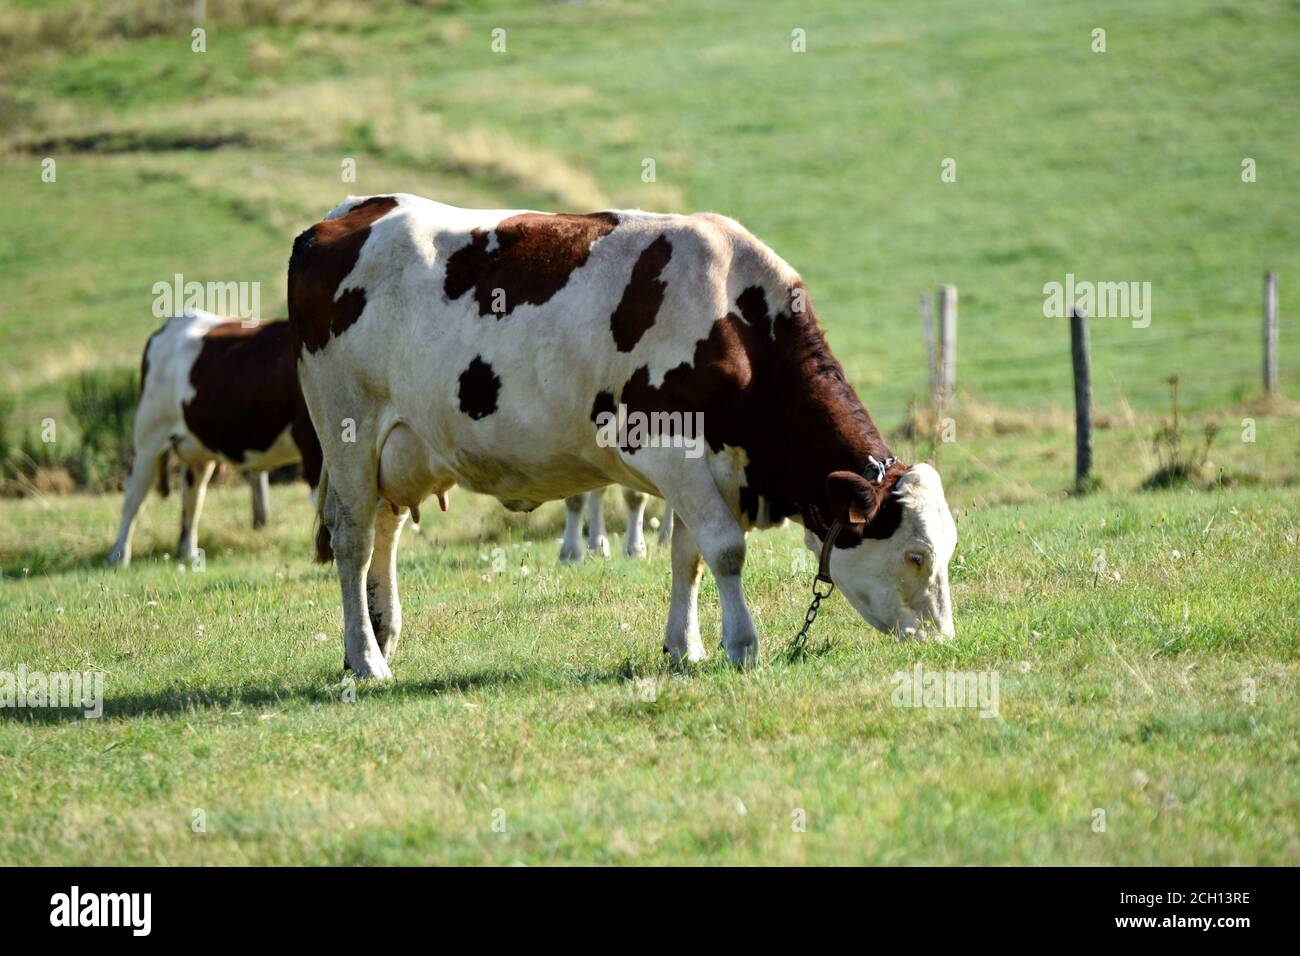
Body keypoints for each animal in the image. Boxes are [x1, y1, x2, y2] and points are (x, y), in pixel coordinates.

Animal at [108, 310, 322, 567]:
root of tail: (169, 325)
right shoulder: (311, 439)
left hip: (196, 449)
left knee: (192, 495)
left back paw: (189, 556)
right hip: (149, 433)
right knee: (134, 494)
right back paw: (119, 556)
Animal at [288, 193, 957, 680]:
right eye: (915, 555)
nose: (942, 640)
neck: (738, 324)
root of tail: (348, 213)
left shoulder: (703, 466)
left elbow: (688, 557)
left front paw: (685, 647)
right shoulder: (669, 449)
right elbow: (726, 550)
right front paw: (742, 646)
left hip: (400, 446)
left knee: (385, 529)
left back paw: (378, 639)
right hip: (348, 429)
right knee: (353, 541)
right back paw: (368, 661)